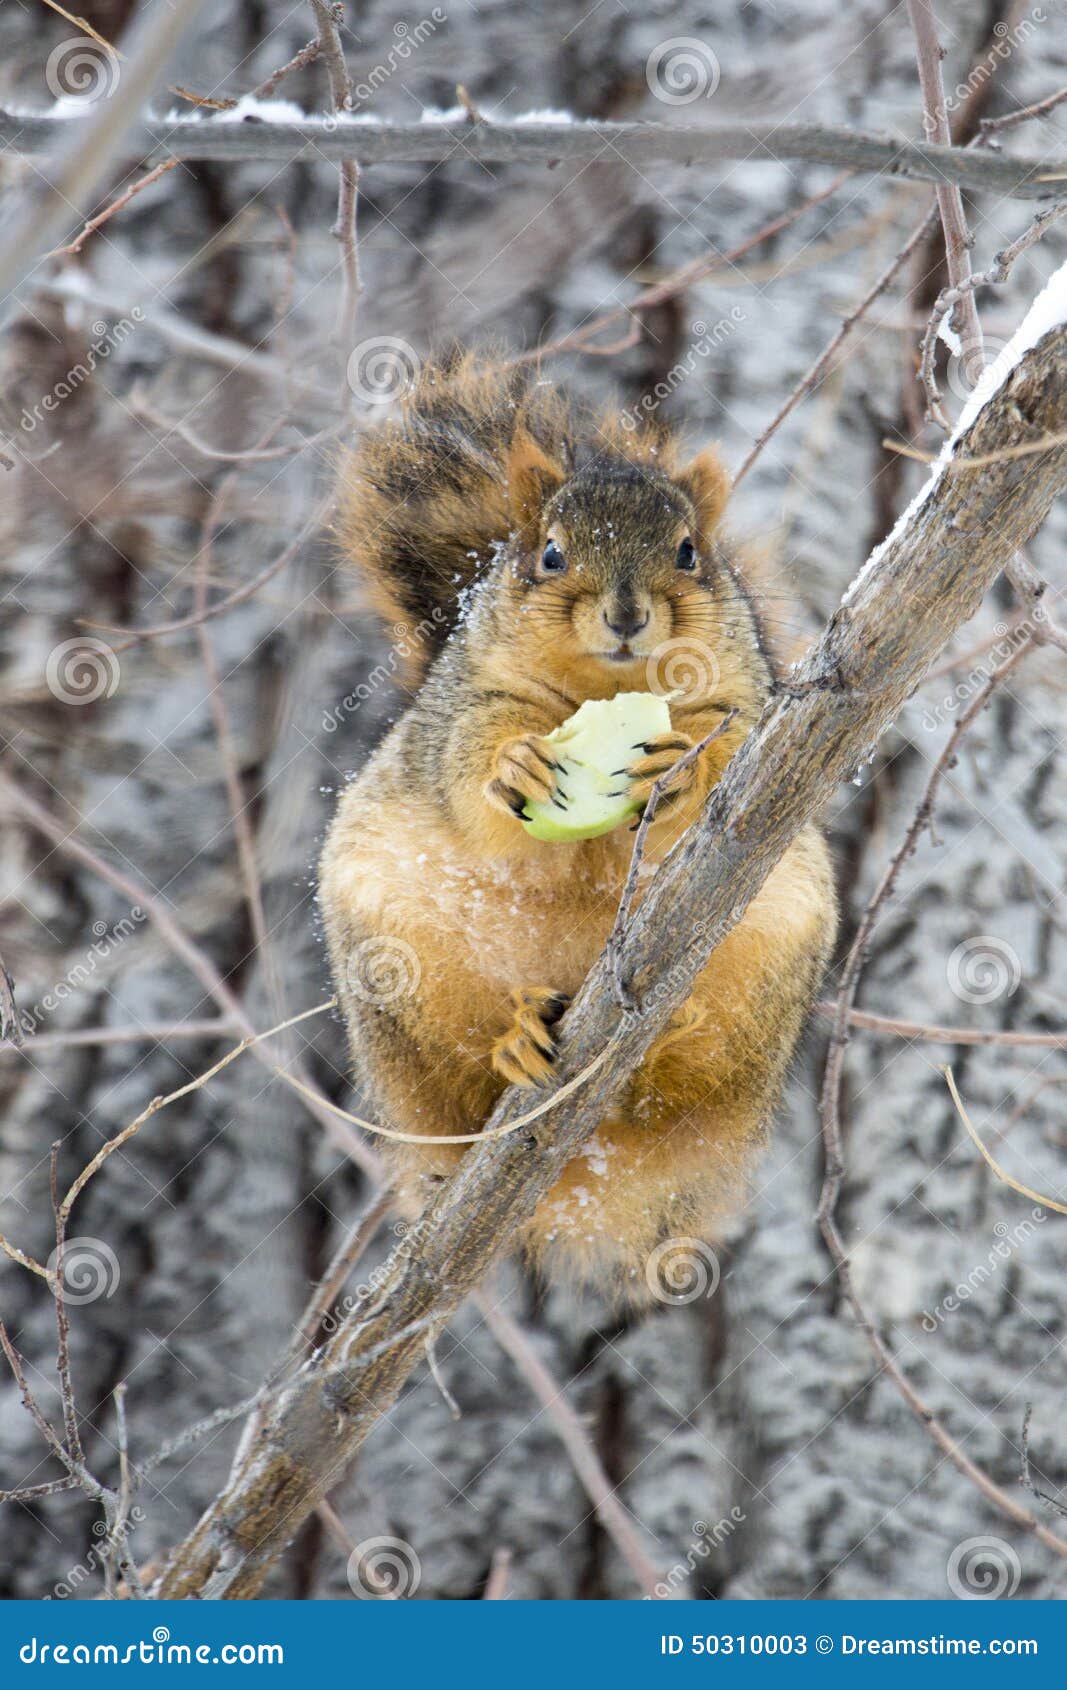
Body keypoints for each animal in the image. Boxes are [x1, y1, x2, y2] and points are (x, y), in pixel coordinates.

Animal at [318, 350, 837, 1295]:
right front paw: (513, 768)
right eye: (551, 554)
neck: (607, 689)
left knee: (678, 1101)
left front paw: (677, 772)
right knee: (459, 1082)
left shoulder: (744, 709)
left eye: (689, 553)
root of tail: (581, 1182)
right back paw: (516, 1045)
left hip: (764, 982)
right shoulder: (472, 703)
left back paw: (661, 1048)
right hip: (400, 977)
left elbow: (728, 750)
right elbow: (470, 763)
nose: (626, 614)